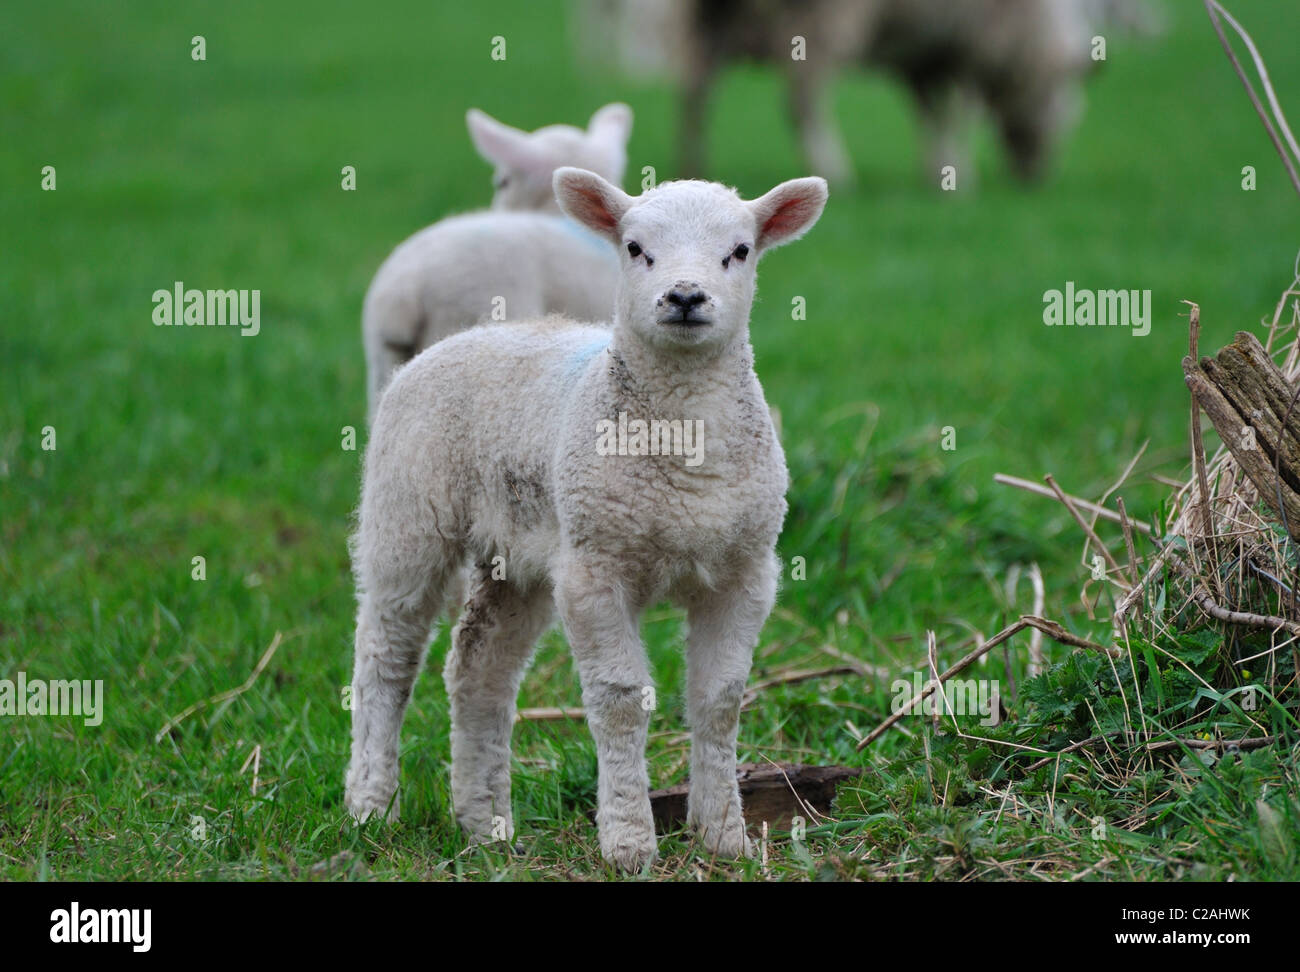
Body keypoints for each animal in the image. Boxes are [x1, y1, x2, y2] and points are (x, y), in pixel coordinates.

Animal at [345, 167, 828, 870]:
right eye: (635, 248)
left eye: (740, 251)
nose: (685, 296)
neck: (688, 451)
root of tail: (455, 339)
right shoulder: (597, 569)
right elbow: (620, 702)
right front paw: (628, 843)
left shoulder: (745, 570)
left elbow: (719, 701)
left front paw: (724, 838)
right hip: (408, 513)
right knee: (385, 658)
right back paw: (371, 807)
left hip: (518, 554)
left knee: (478, 669)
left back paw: (485, 824)